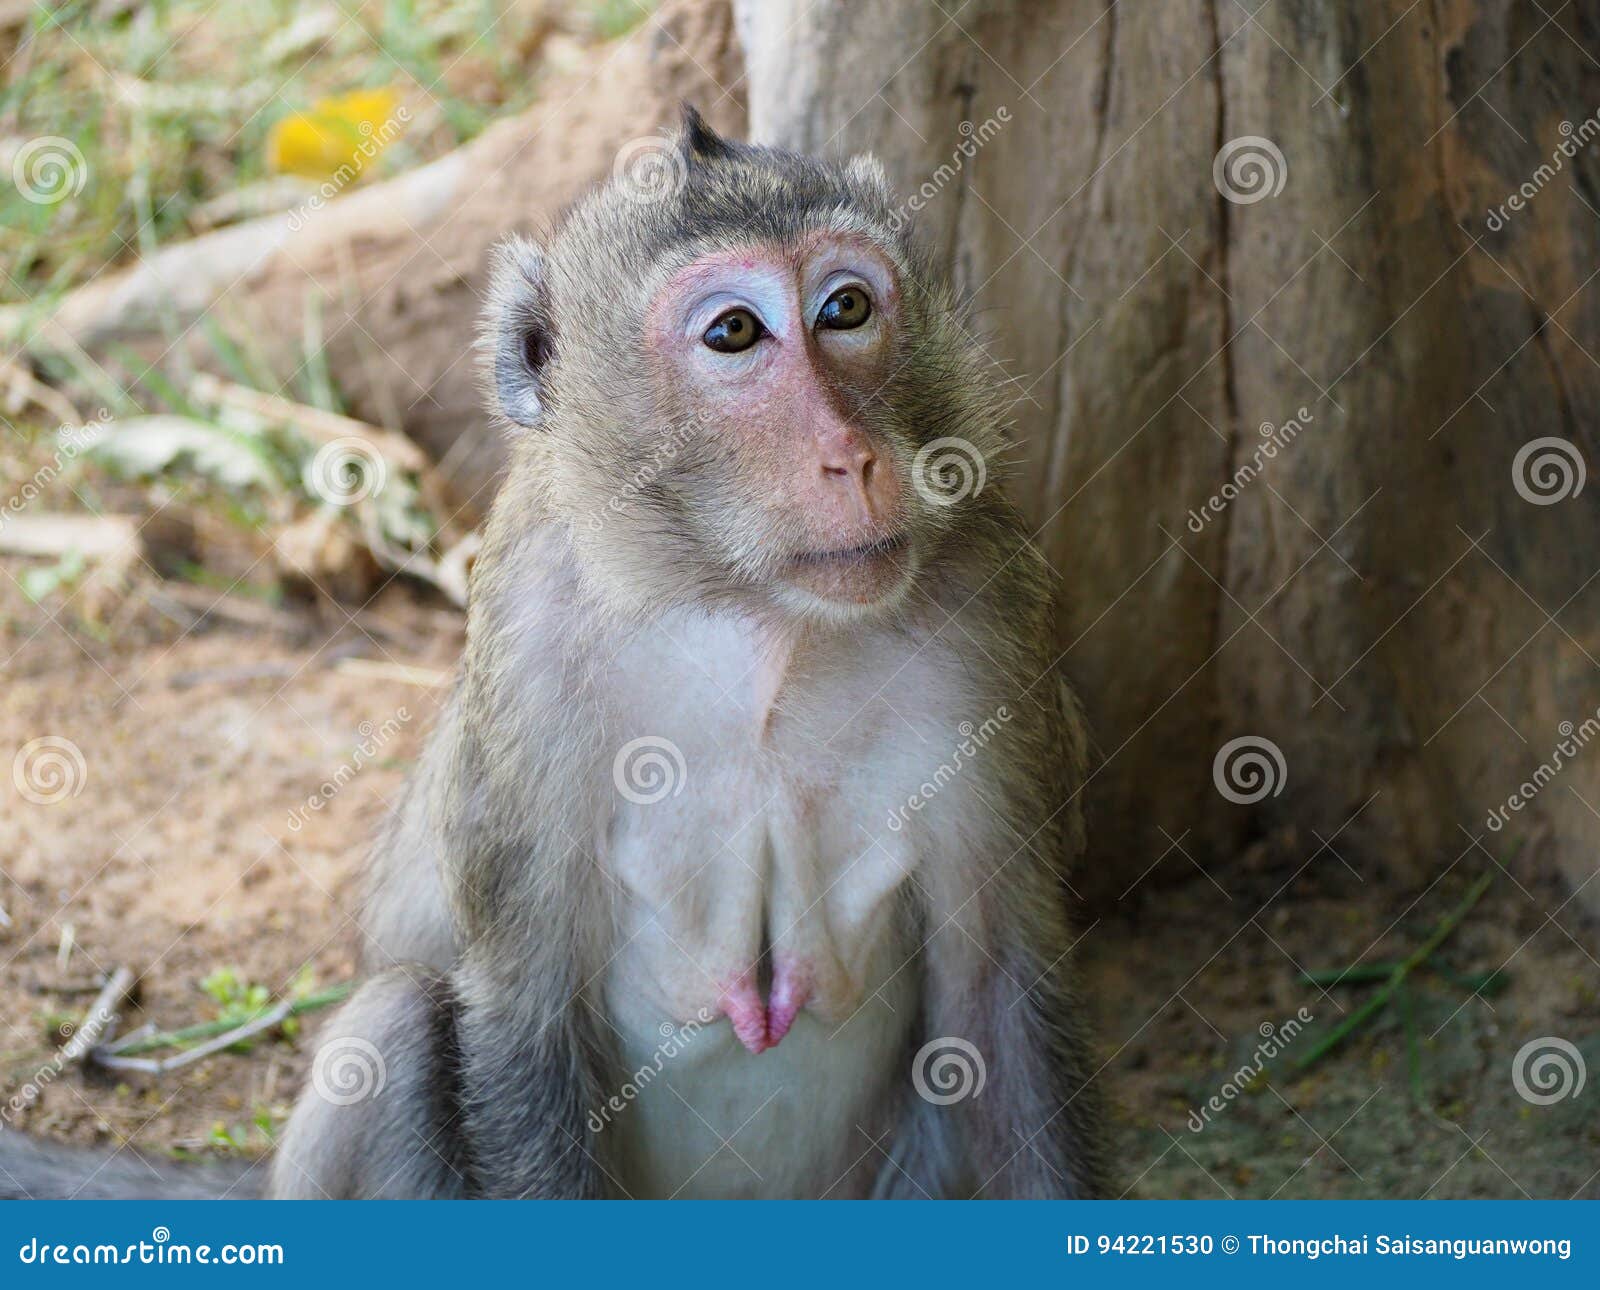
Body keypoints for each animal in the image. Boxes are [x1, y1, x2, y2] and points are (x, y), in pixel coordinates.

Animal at [0, 107, 1105, 1201]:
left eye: (846, 307)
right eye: (734, 332)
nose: (854, 457)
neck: (748, 613)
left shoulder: (989, 612)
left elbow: (1001, 992)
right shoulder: (529, 639)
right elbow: (524, 1015)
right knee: (394, 1024)